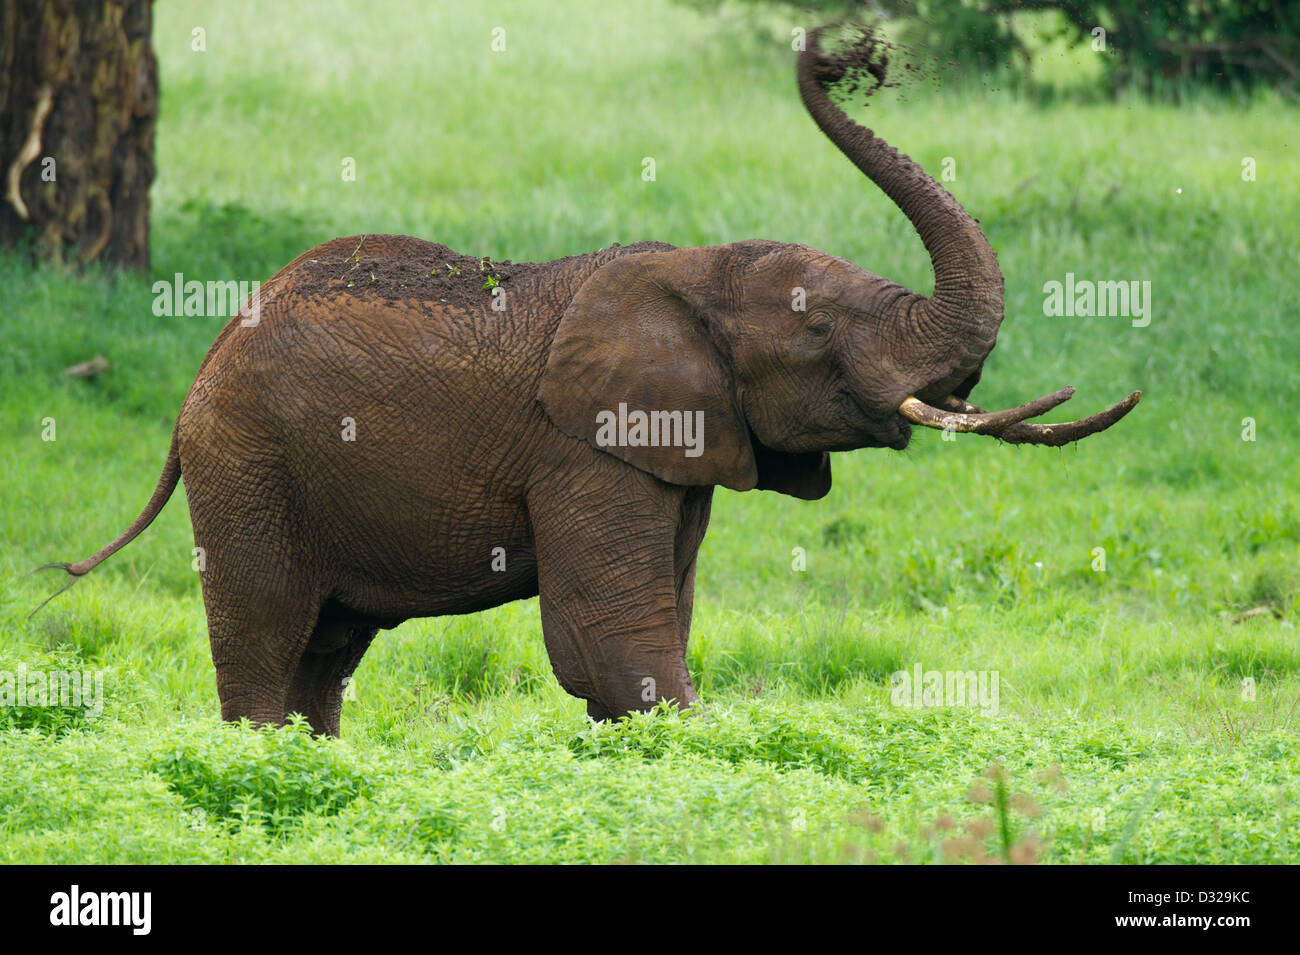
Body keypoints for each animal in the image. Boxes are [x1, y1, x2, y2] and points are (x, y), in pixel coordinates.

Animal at [40, 25, 1138, 736]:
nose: (842, 50)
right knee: (269, 629)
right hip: (247, 459)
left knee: (327, 646)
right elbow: (608, 635)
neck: (695, 268)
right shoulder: (580, 446)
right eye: (819, 328)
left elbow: (659, 615)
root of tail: (207, 360)